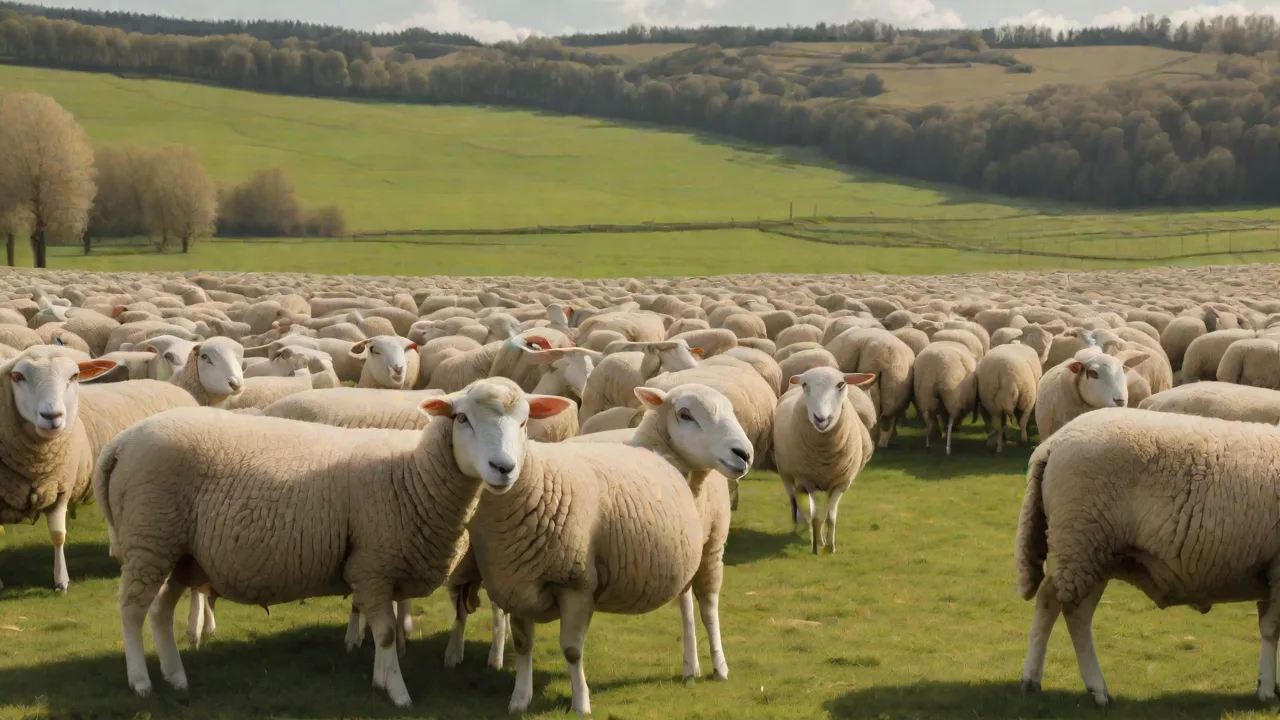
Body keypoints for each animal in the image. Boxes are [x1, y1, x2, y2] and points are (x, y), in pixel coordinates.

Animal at [93, 379, 573, 707]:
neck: (412, 472)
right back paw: (141, 682)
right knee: (132, 610)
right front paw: (398, 693)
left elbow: (383, 628)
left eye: (525, 422)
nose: (504, 468)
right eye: (462, 419)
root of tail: (120, 443)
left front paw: (380, 679)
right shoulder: (373, 562)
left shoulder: (375, 567)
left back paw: (176, 677)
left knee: (159, 611)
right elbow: (384, 632)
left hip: (180, 553)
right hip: (150, 538)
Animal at [772, 368, 876, 554]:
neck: (825, 455)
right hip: (786, 474)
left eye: (841, 384)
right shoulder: (807, 481)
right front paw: (816, 543)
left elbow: (829, 517)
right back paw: (798, 526)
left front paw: (830, 545)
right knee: (794, 501)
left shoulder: (840, 484)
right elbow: (814, 516)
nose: (821, 419)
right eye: (805, 385)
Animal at [1015, 407, 1280, 706]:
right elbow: (1271, 629)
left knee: (1074, 612)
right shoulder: (1278, 568)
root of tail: (1053, 443)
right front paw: (1267, 690)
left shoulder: (1268, 568)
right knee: (1054, 604)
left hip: (1095, 551)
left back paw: (1089, 686)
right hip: (1080, 539)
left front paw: (1268, 685)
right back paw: (1045, 681)